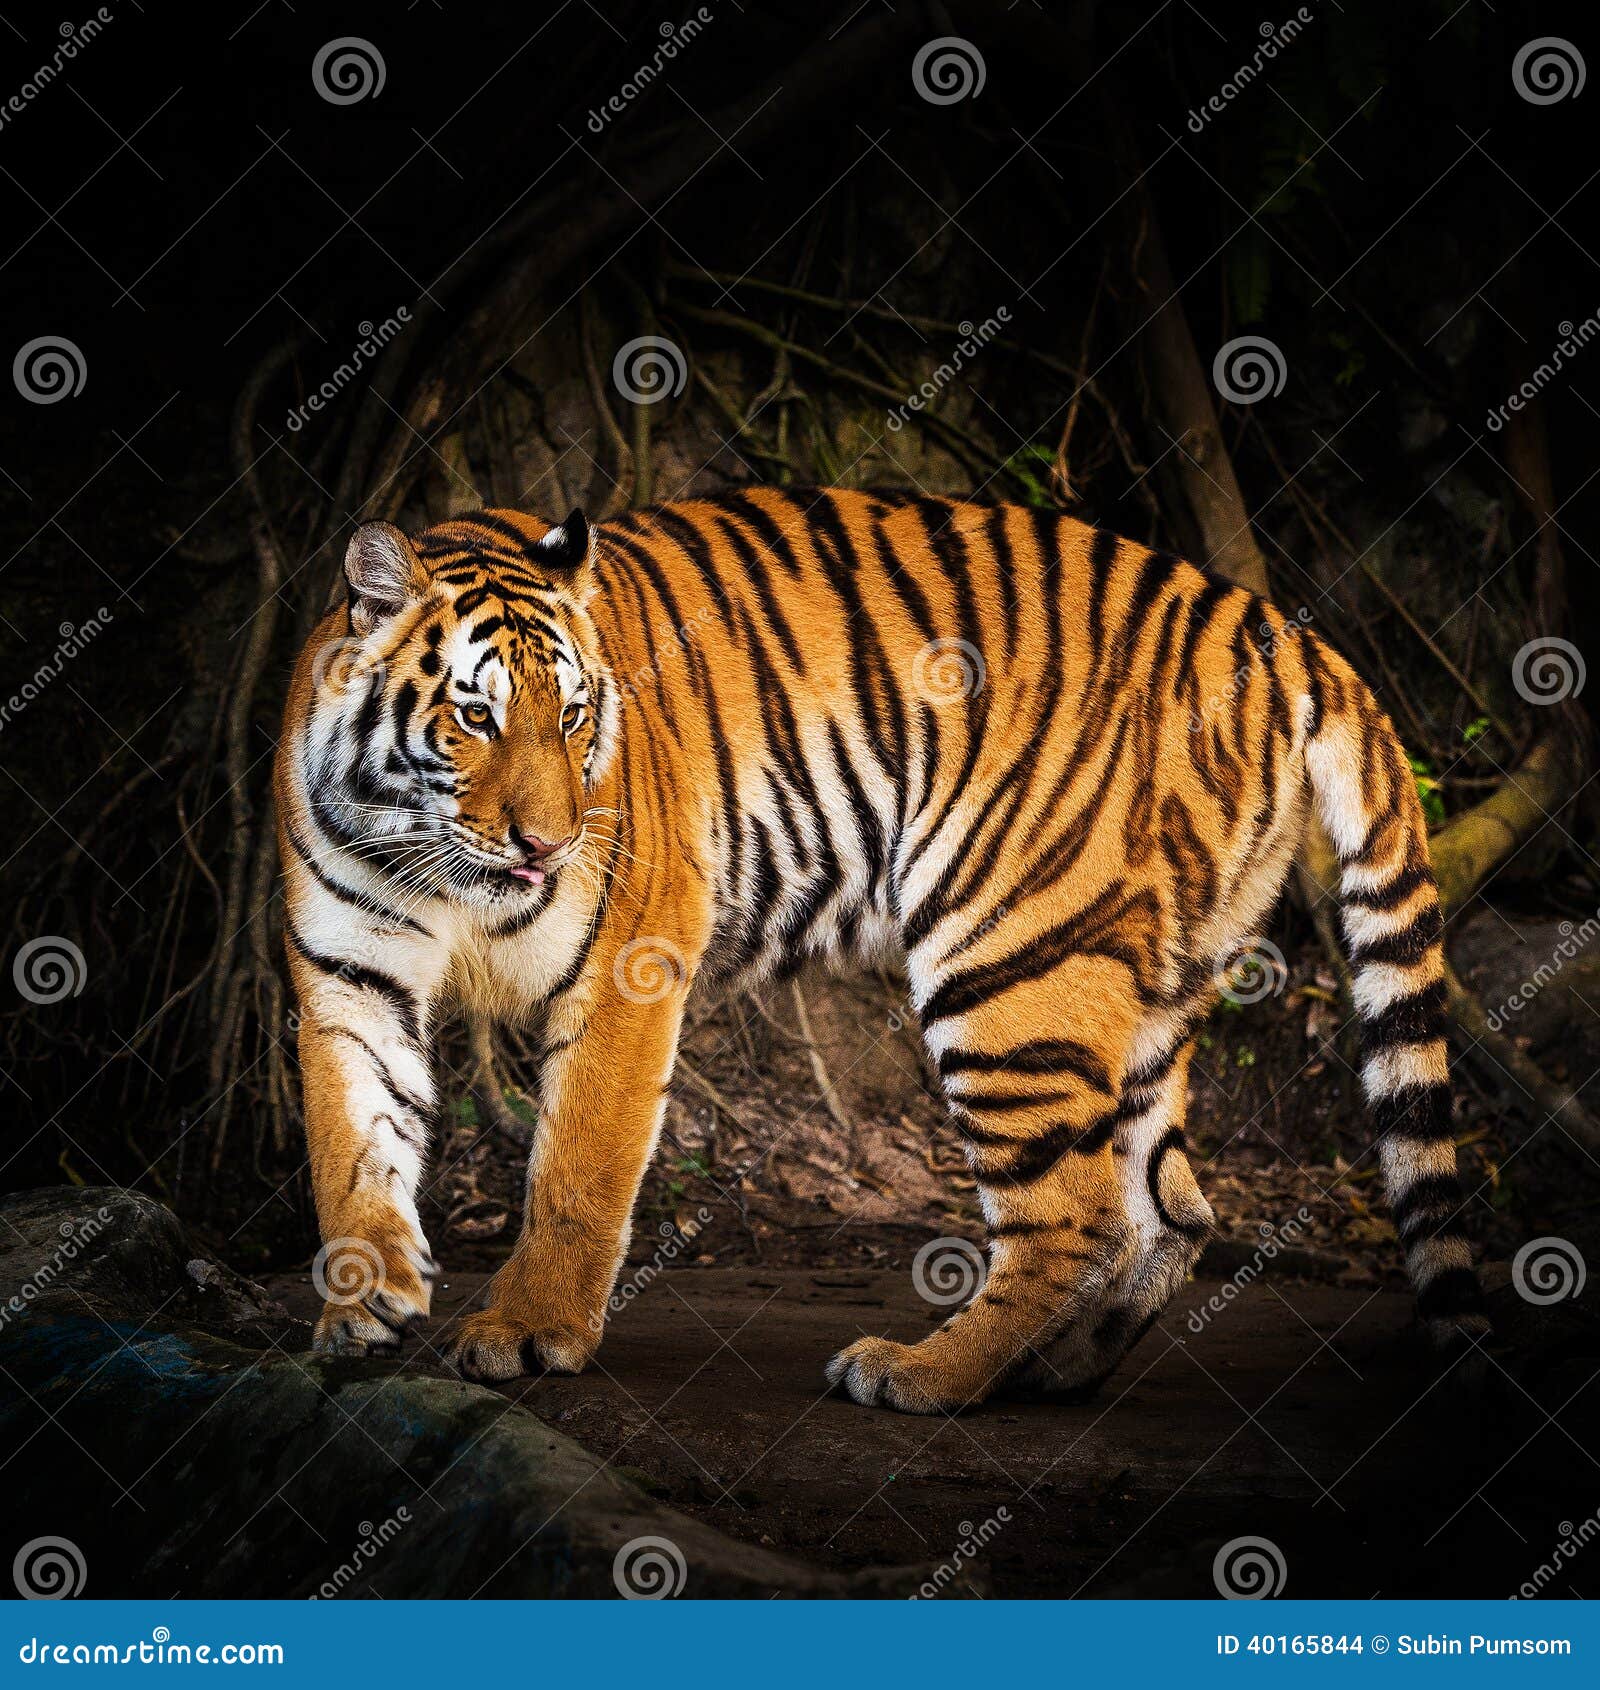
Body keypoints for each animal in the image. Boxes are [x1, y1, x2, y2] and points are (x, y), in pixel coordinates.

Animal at [275, 485, 1487, 1414]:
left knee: (1077, 1214)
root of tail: (1274, 625)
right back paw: (1049, 1373)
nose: (550, 841)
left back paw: (924, 1375)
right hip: (1148, 980)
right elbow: (349, 1138)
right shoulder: (348, 971)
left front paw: (527, 1332)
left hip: (1005, 957)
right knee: (1170, 1210)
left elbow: (575, 1168)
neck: (435, 858)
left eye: (574, 718)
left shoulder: (630, 963)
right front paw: (362, 1303)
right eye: (476, 717)